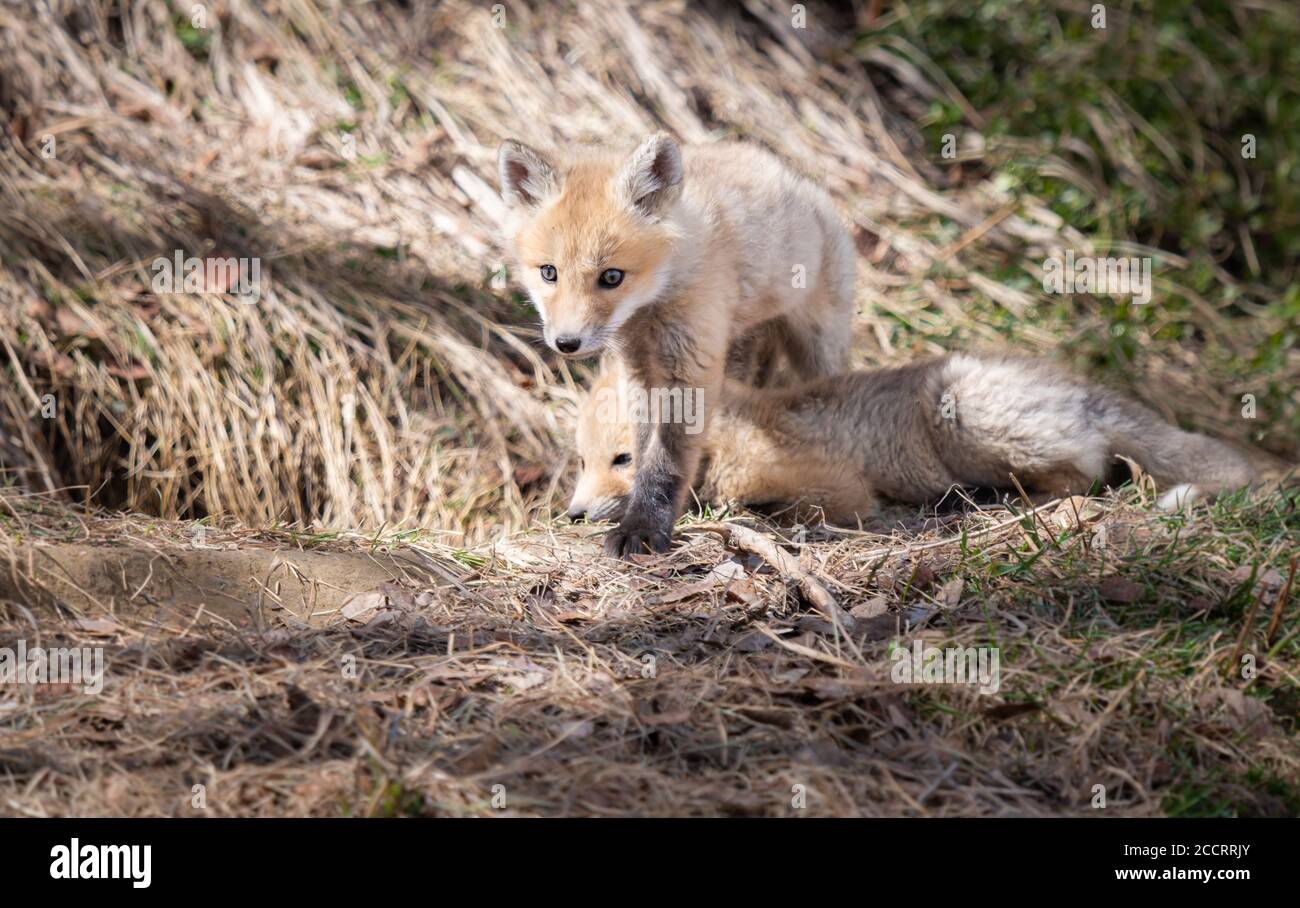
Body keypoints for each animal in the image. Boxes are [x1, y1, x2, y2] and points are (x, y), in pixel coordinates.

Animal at [497, 133, 855, 555]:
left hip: (818, 343)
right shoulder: (638, 368)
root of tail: (797, 179)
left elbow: (667, 461)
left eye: (612, 276)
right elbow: (644, 446)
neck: (652, 306)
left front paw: (644, 527)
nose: (567, 342)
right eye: (549, 272)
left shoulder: (691, 365)